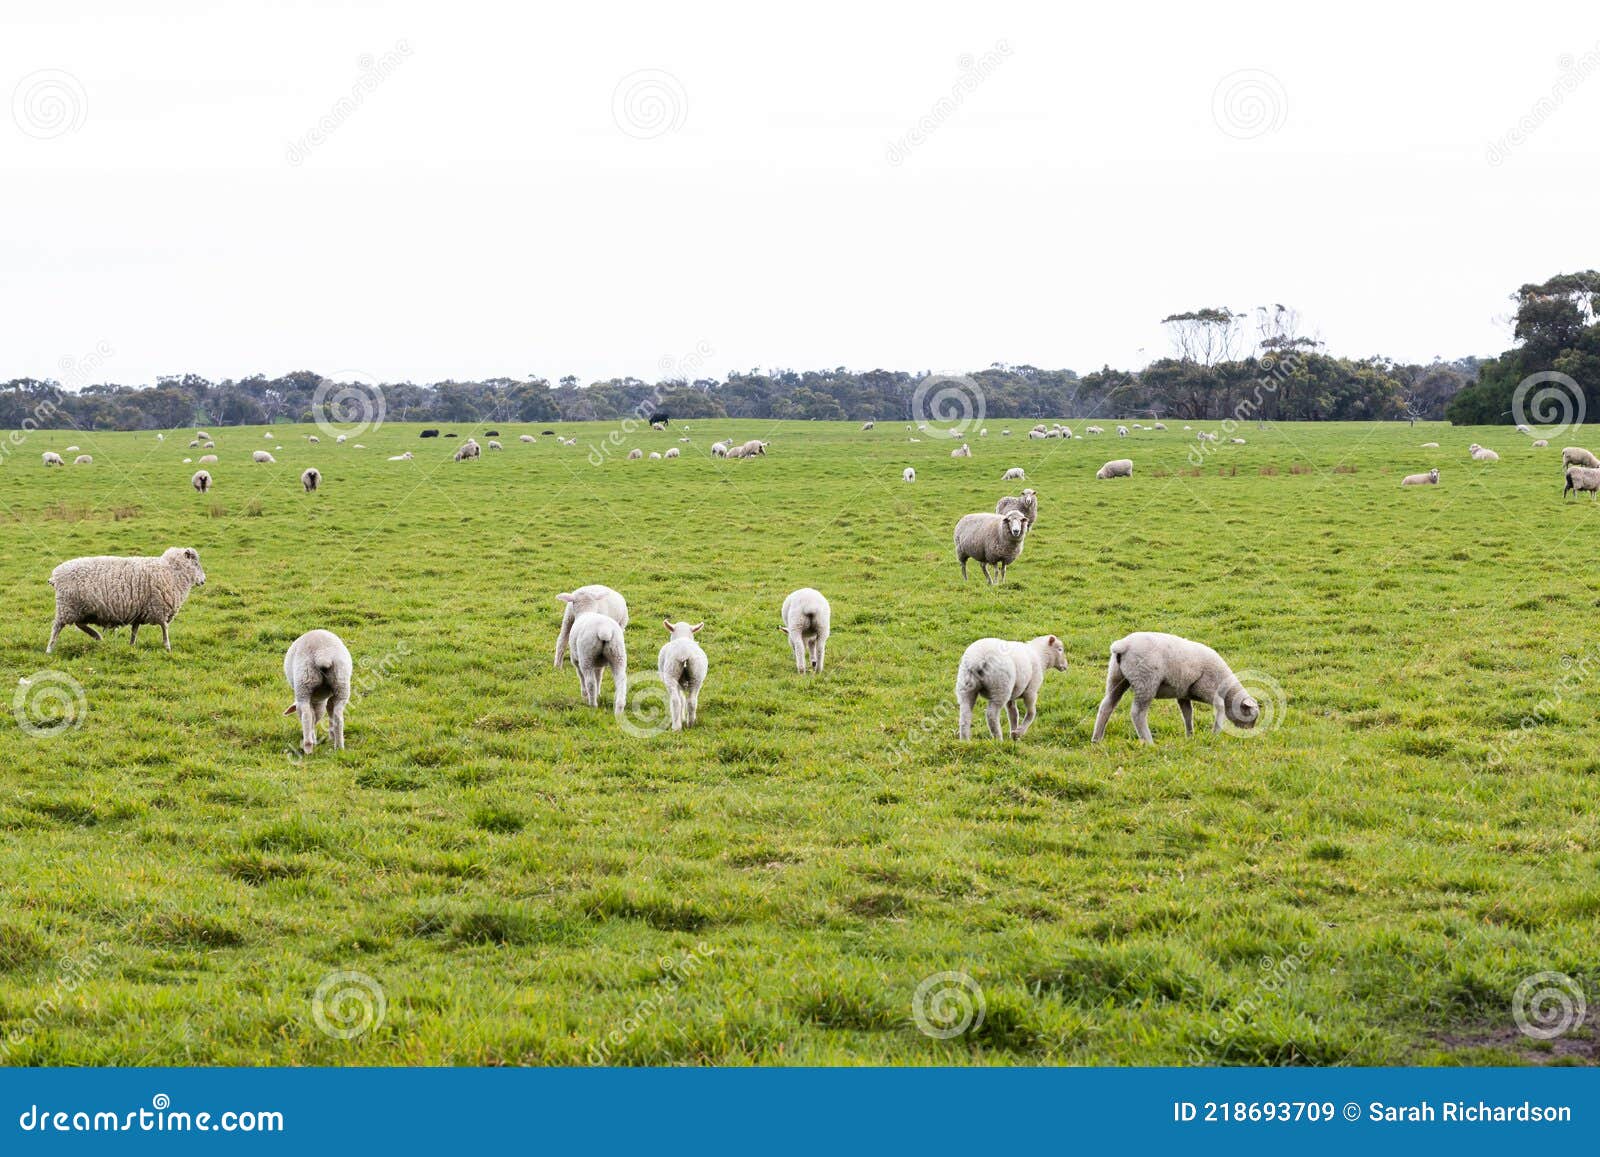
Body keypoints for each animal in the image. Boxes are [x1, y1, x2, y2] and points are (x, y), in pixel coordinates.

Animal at [45, 547, 206, 653]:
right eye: (196, 564)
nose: (204, 580)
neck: (172, 571)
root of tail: (55, 576)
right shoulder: (159, 607)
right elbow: (164, 628)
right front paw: (168, 647)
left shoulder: (140, 611)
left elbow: (135, 630)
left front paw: (131, 645)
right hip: (67, 606)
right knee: (57, 627)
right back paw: (49, 649)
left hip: (81, 607)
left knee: (79, 623)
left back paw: (97, 636)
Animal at [1091, 631, 1260, 744]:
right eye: (1251, 717)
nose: (1248, 732)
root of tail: (1123, 645)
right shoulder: (1205, 687)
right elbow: (1219, 705)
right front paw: (1215, 733)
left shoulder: (1183, 694)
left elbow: (1188, 714)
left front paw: (1190, 735)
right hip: (1146, 681)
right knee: (1137, 713)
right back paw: (1149, 742)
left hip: (1116, 677)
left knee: (1107, 705)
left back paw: (1097, 739)